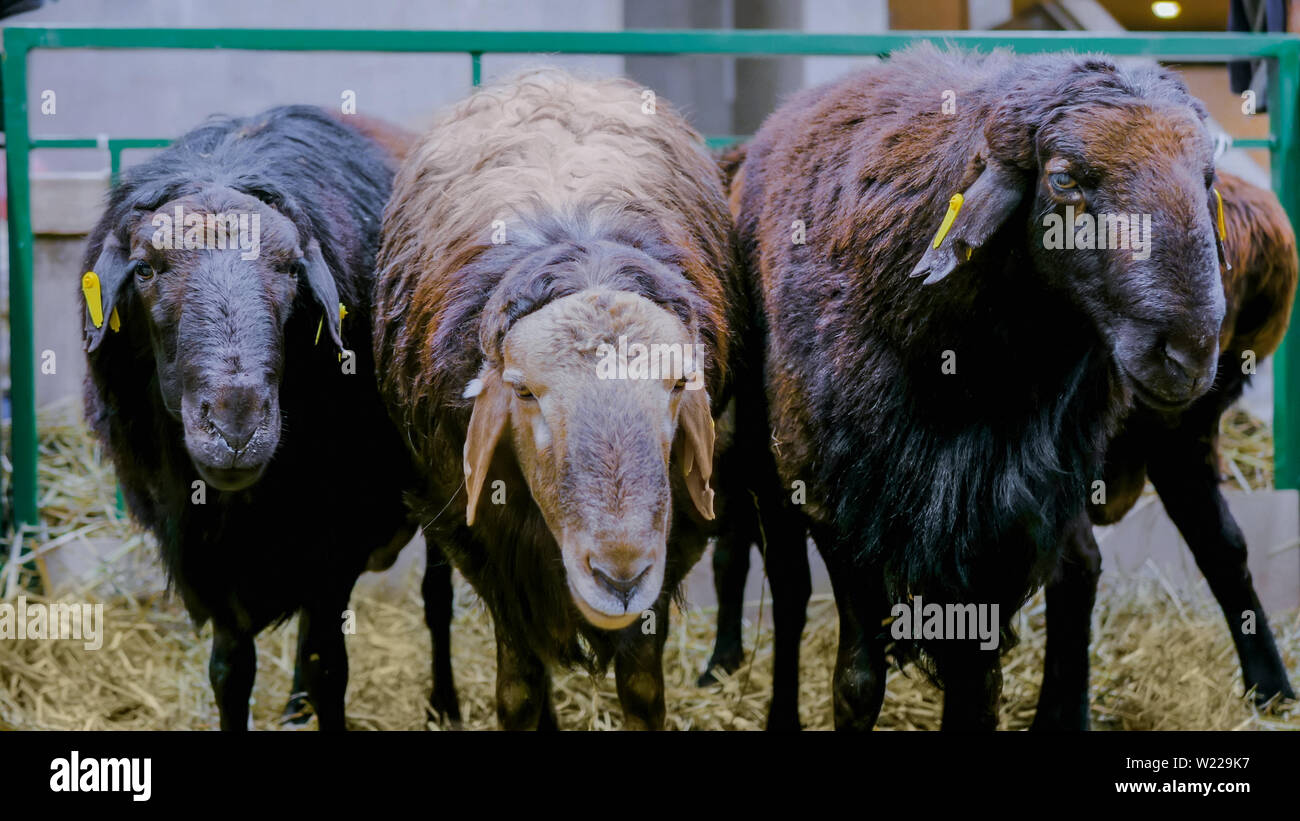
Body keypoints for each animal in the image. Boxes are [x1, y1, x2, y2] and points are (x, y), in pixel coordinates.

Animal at [81, 105, 430, 730]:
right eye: (144, 270)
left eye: (292, 271)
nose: (236, 425)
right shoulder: (209, 559)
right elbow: (230, 672)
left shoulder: (336, 542)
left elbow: (329, 667)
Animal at [373, 68, 736, 729]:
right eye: (523, 392)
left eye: (678, 385)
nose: (619, 575)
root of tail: (554, 73)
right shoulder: (484, 544)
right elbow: (518, 688)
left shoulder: (678, 537)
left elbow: (642, 689)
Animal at [729, 43, 1231, 730]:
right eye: (1065, 180)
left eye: (1207, 179)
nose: (1188, 355)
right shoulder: (838, 506)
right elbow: (856, 681)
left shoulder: (1007, 524)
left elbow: (976, 690)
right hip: (769, 461)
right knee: (787, 586)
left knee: (1081, 565)